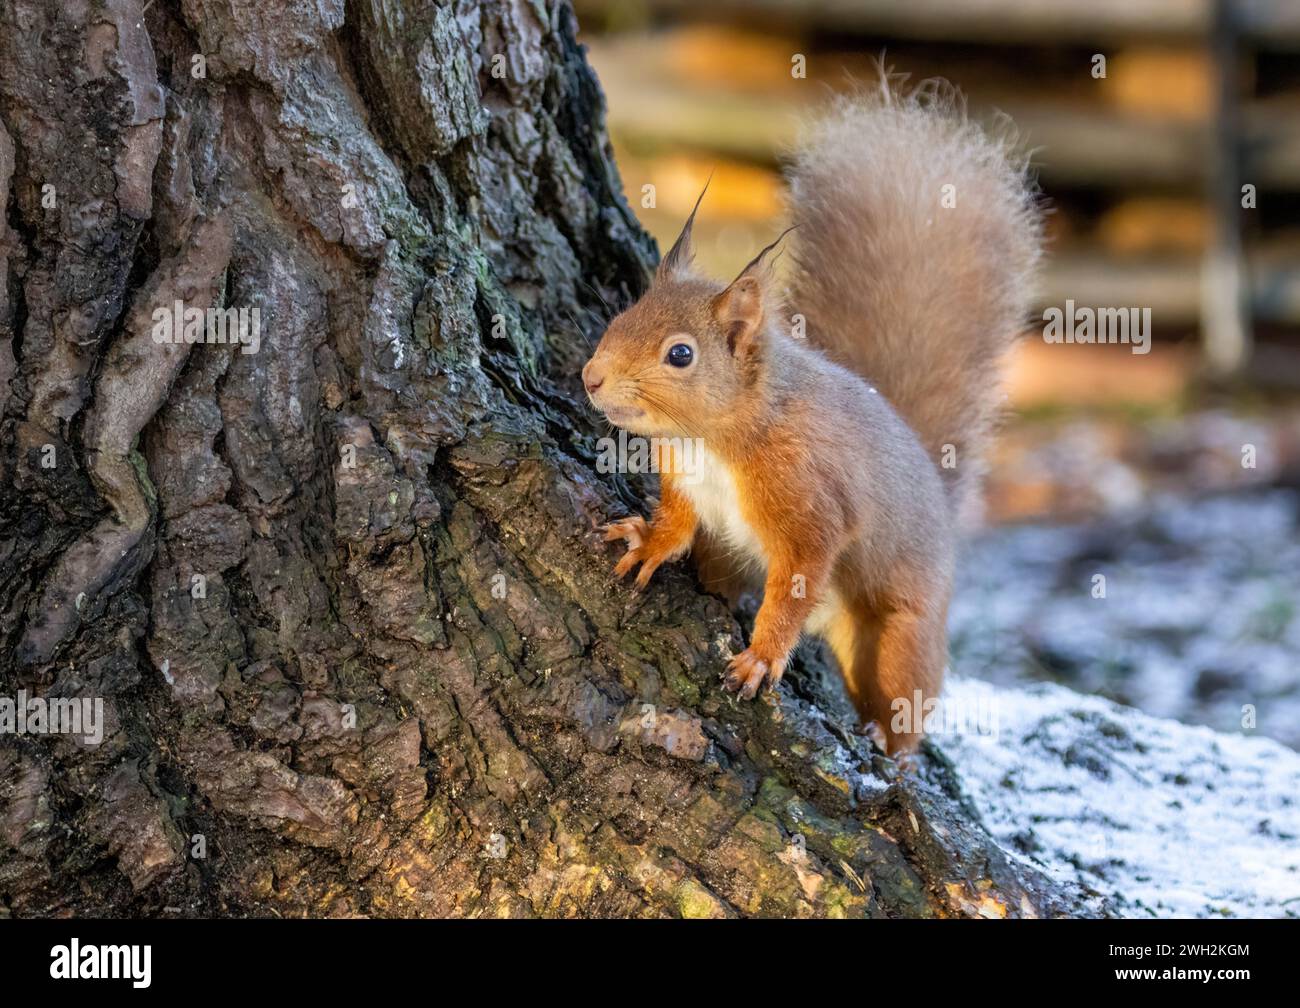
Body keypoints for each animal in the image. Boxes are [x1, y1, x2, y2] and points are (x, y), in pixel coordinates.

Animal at [582, 77, 1042, 754]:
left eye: (681, 354)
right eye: (621, 316)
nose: (591, 377)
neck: (711, 440)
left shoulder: (810, 501)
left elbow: (799, 575)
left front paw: (761, 657)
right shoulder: (686, 484)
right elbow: (679, 521)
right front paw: (649, 540)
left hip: (904, 628)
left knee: (906, 695)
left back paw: (891, 748)